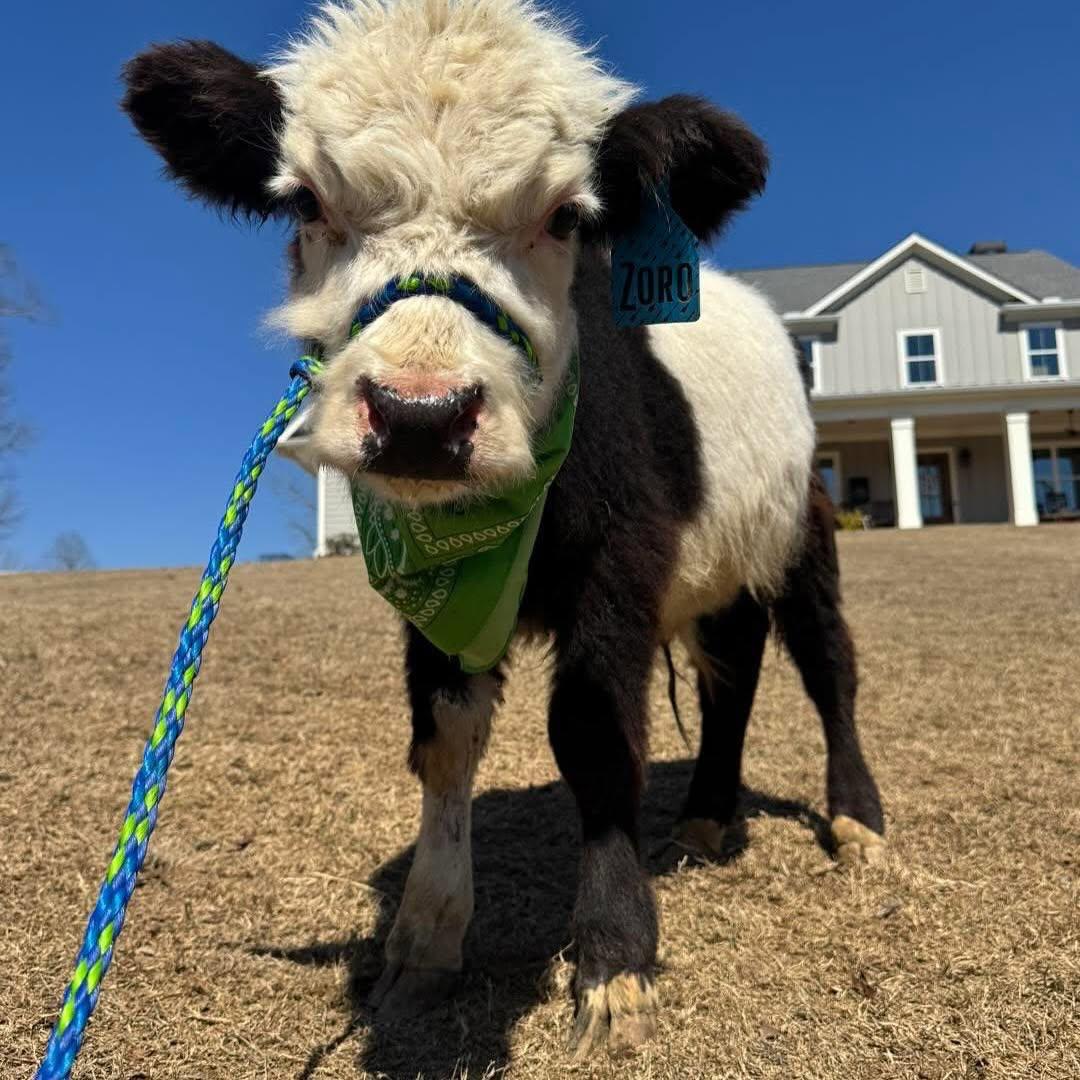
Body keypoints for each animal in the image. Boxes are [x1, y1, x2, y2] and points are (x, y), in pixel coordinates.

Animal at [121, 0, 884, 1059]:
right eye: (308, 201)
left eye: (566, 215)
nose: (421, 415)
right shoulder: (431, 606)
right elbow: (444, 743)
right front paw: (422, 948)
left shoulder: (620, 566)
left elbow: (594, 736)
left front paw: (614, 962)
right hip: (714, 564)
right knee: (731, 669)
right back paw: (703, 821)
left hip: (802, 528)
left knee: (825, 662)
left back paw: (857, 824)